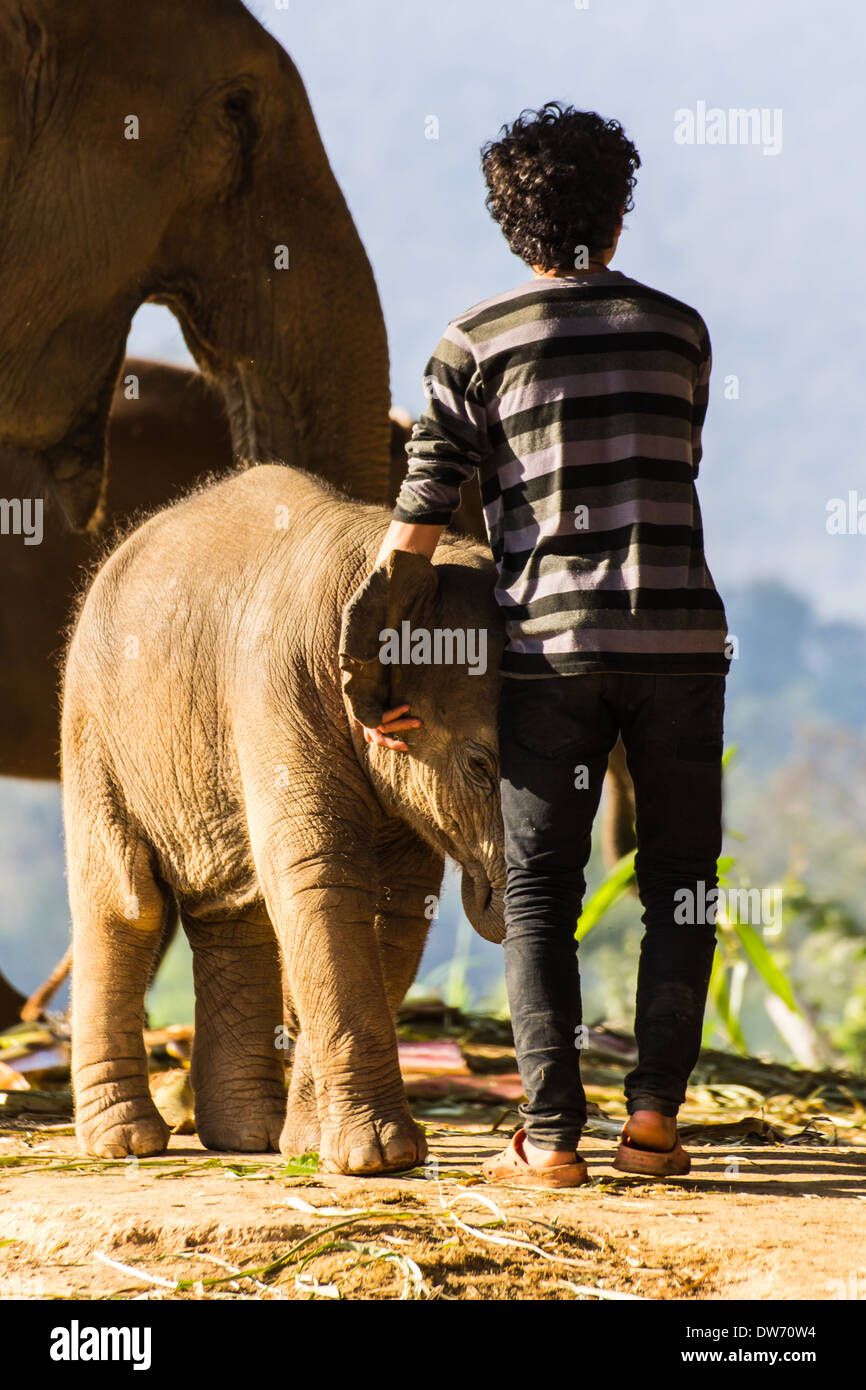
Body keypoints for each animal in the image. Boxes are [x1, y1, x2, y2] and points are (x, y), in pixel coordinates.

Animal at [62, 464, 506, 1174]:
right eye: (479, 766)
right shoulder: (279, 687)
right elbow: (321, 881)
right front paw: (377, 1159)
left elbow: (394, 906)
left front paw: (315, 1146)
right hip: (94, 729)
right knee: (127, 905)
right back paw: (125, 1143)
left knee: (232, 912)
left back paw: (249, 1138)